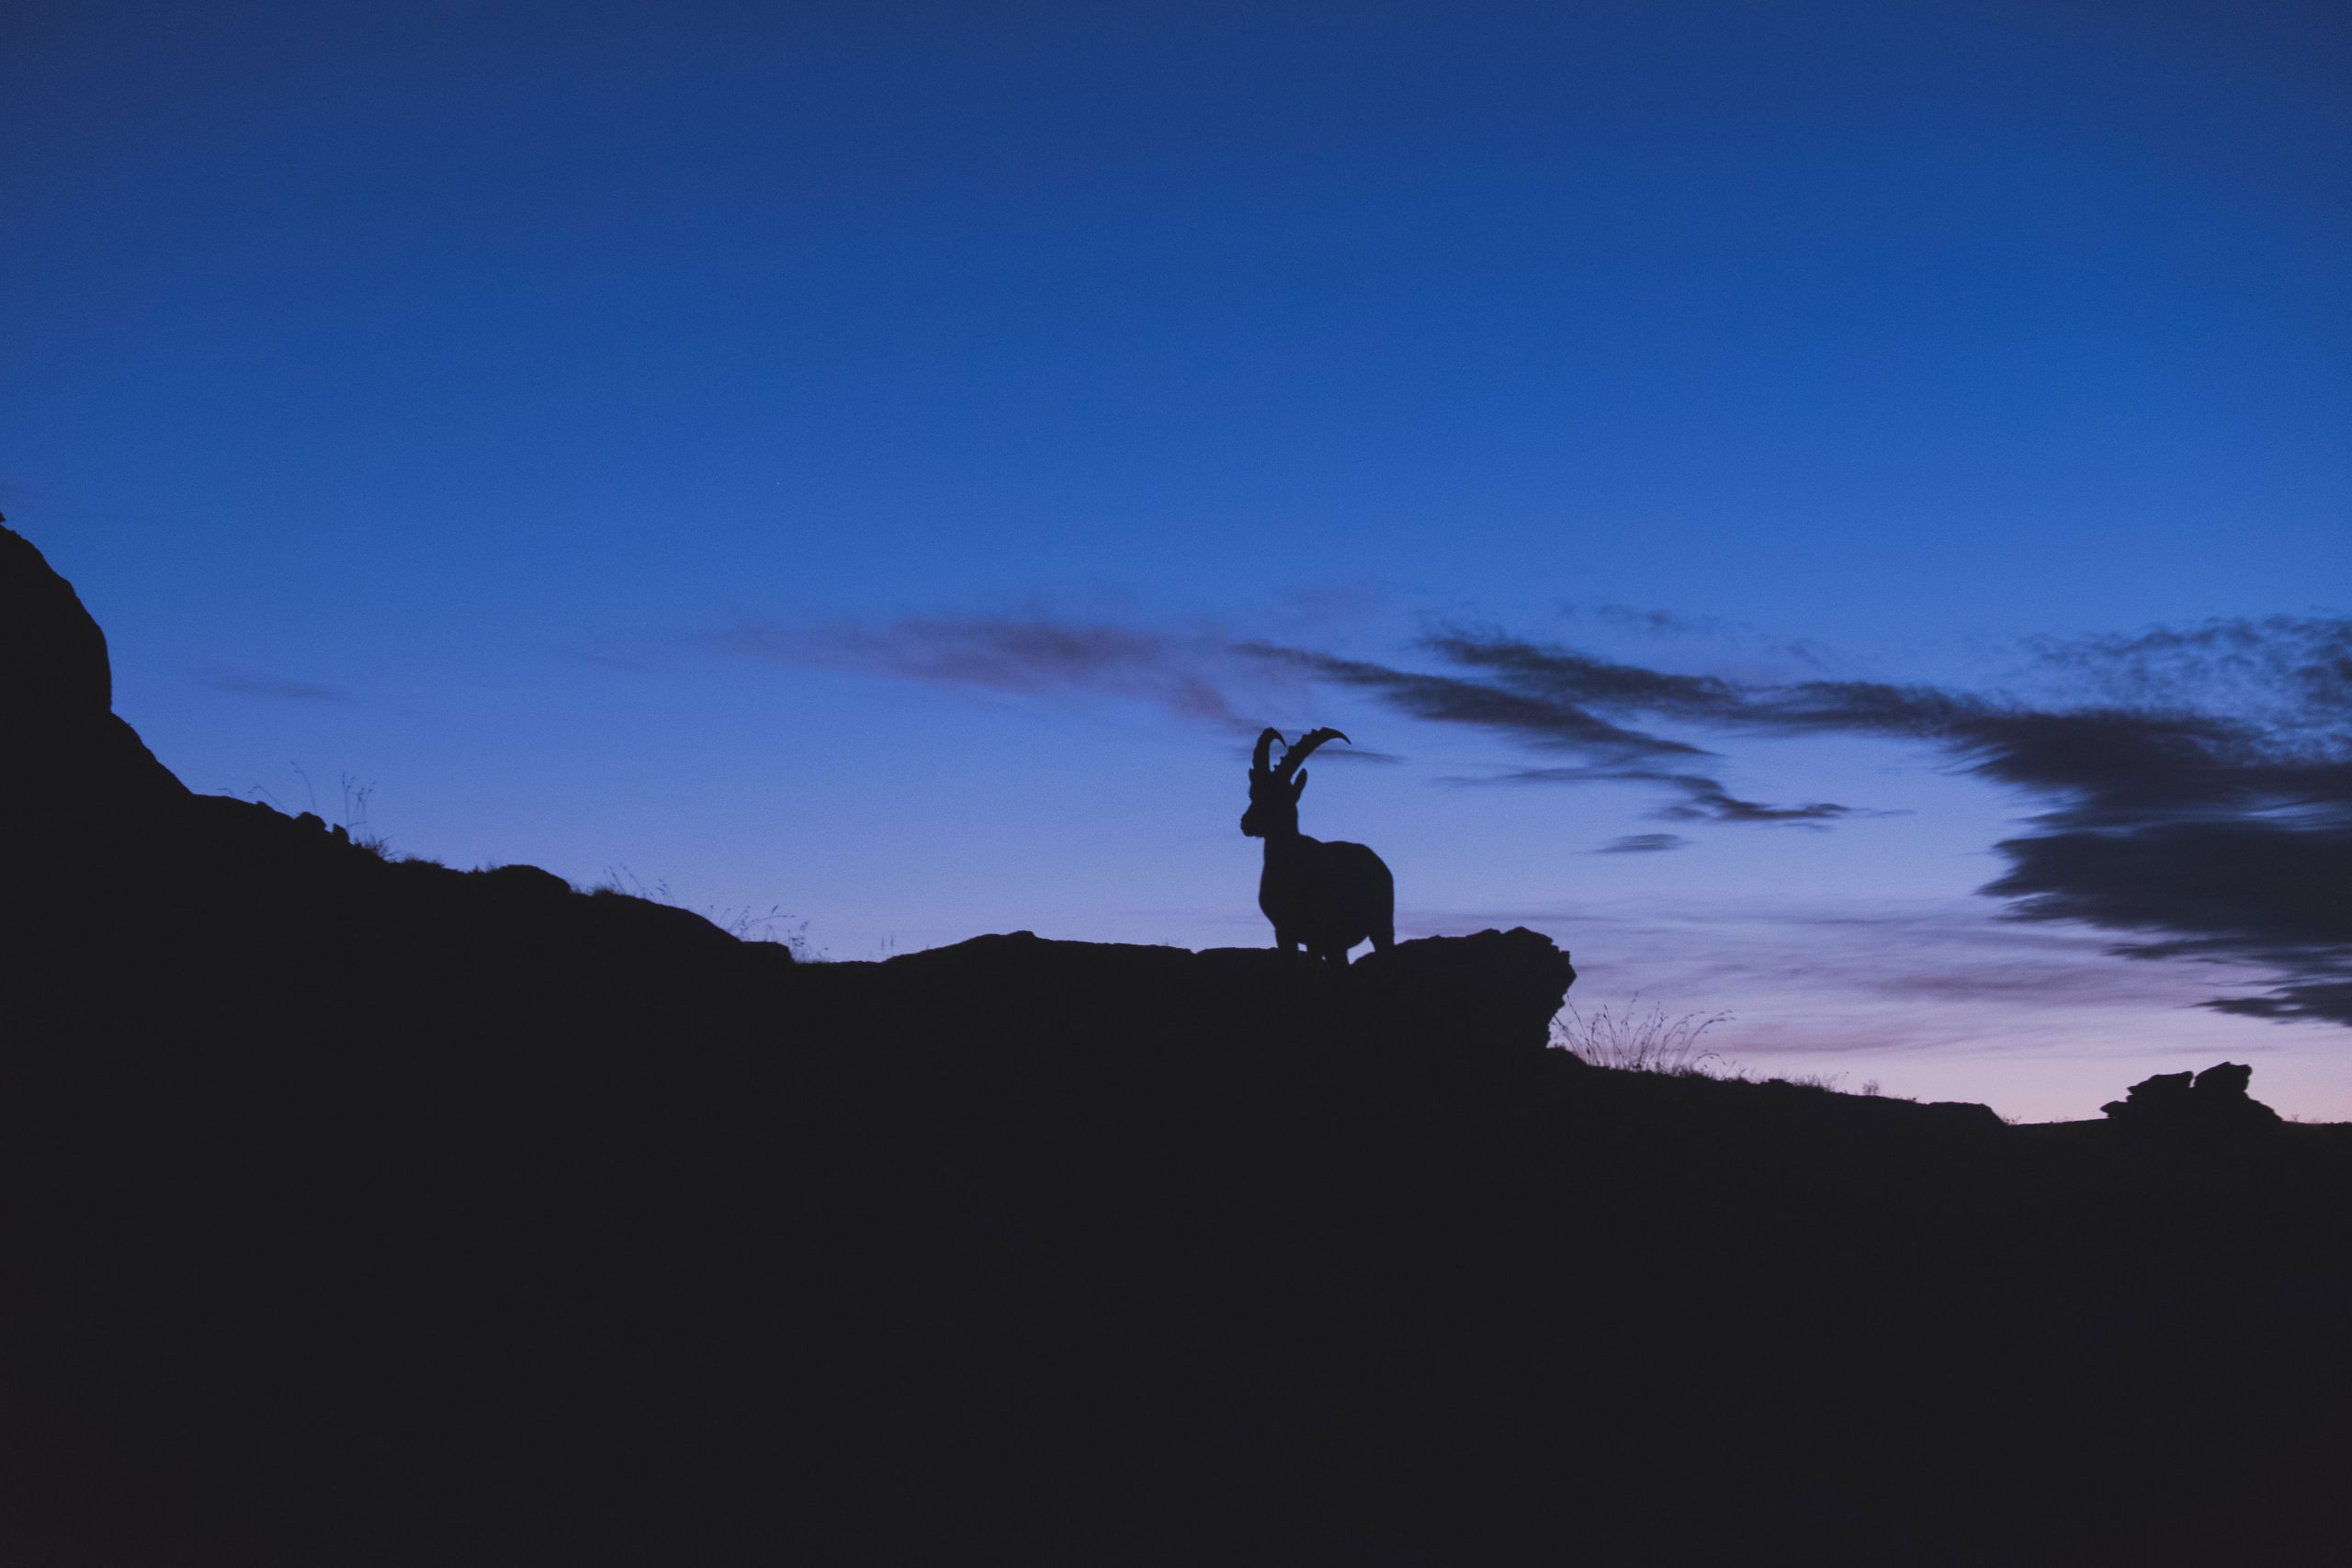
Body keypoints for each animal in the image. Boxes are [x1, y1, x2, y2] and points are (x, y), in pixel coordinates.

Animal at [1241, 727, 1395, 967]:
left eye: (1281, 796)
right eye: (1252, 793)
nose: (1247, 823)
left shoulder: (1317, 935)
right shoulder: (1283, 931)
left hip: (1379, 926)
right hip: (1338, 944)